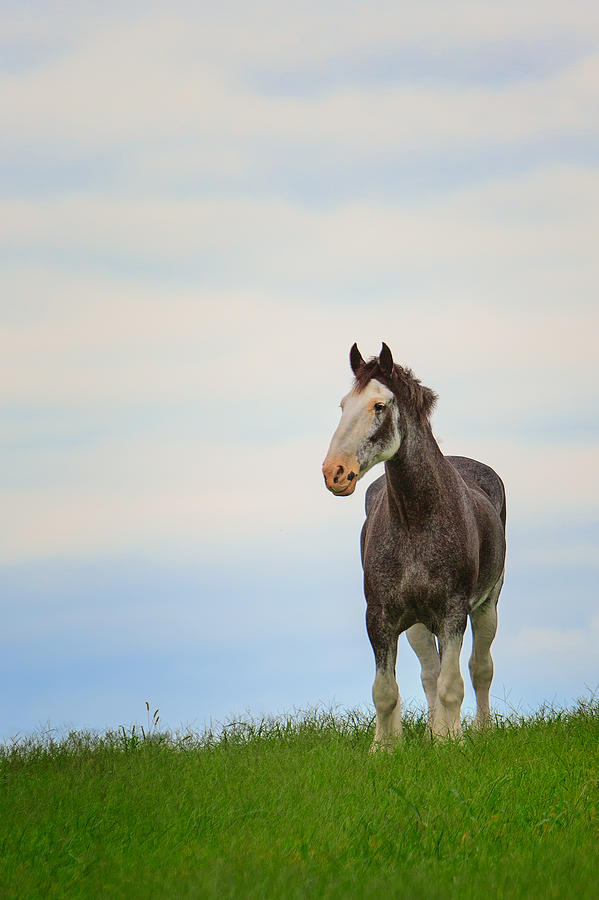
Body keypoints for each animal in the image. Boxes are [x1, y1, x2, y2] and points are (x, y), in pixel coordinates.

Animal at [322, 343, 506, 748]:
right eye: (343, 405)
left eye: (379, 405)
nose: (335, 473)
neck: (416, 523)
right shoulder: (381, 617)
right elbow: (386, 690)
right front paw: (385, 747)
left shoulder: (453, 614)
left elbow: (453, 684)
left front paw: (451, 743)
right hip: (418, 626)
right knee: (429, 674)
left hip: (487, 606)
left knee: (479, 668)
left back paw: (480, 730)